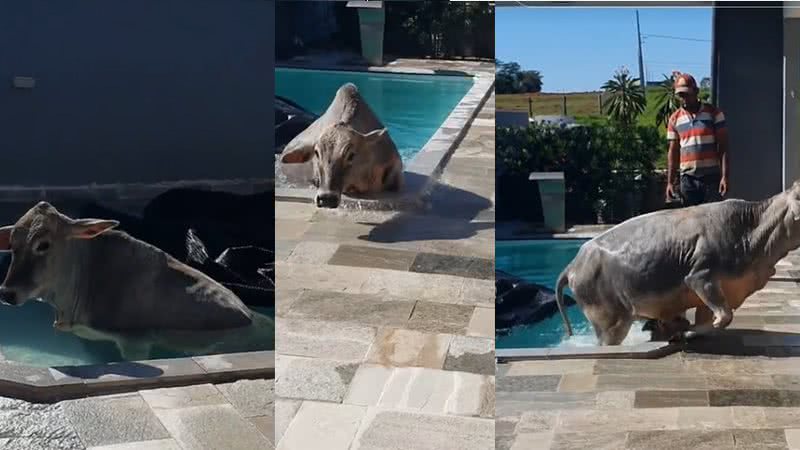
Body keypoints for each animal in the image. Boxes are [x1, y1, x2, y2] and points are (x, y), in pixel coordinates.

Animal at [554, 181, 800, 345]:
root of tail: (573, 264)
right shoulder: (701, 275)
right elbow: (724, 317)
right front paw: (685, 331)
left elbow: (713, 317)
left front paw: (681, 329)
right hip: (608, 319)